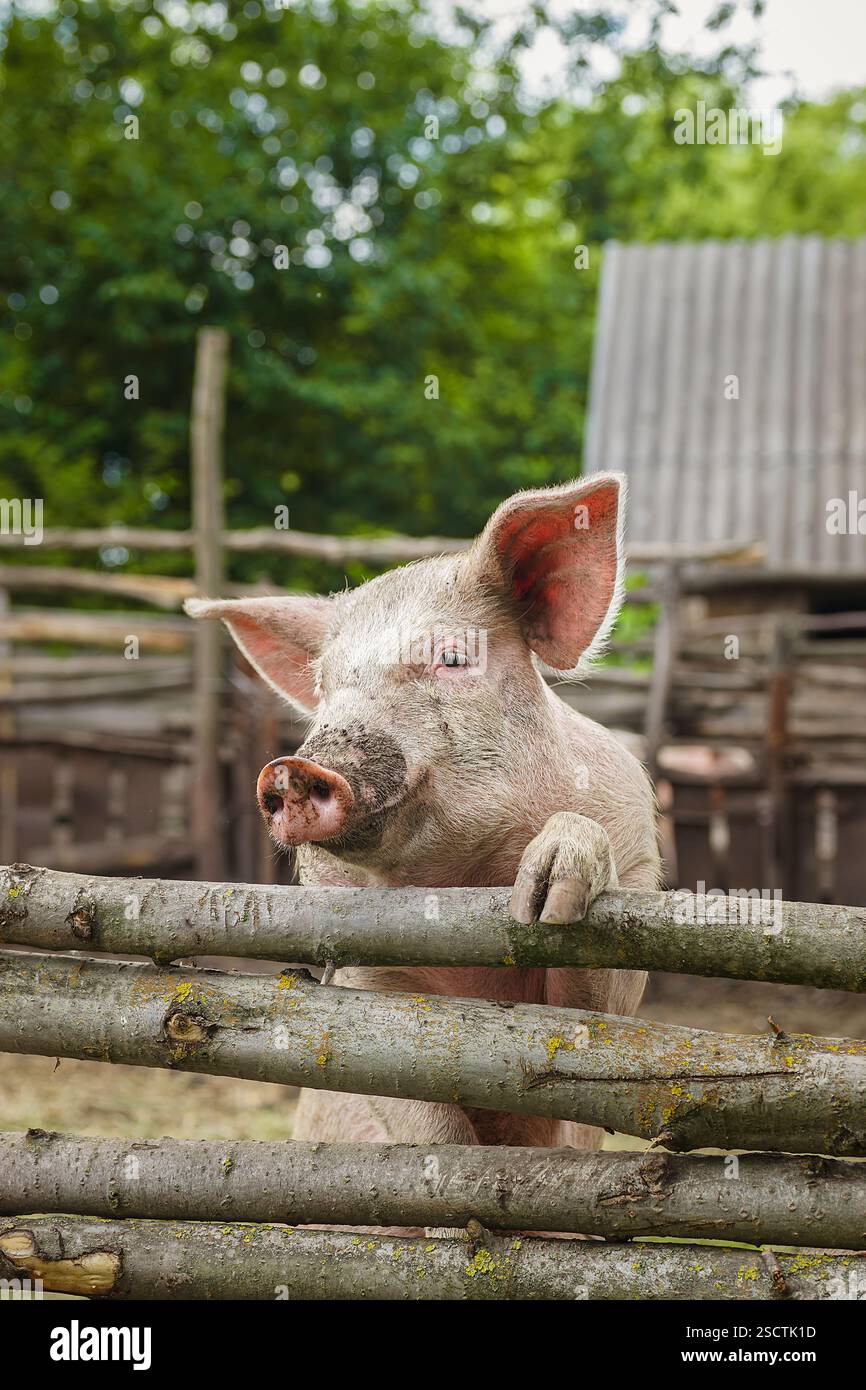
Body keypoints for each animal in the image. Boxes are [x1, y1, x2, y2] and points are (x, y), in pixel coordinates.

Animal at [186, 474, 660, 1160]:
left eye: (454, 658)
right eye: (324, 685)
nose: (291, 770)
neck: (465, 876)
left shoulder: (637, 860)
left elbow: (595, 1021)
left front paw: (544, 896)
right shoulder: (362, 970)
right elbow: (422, 1115)